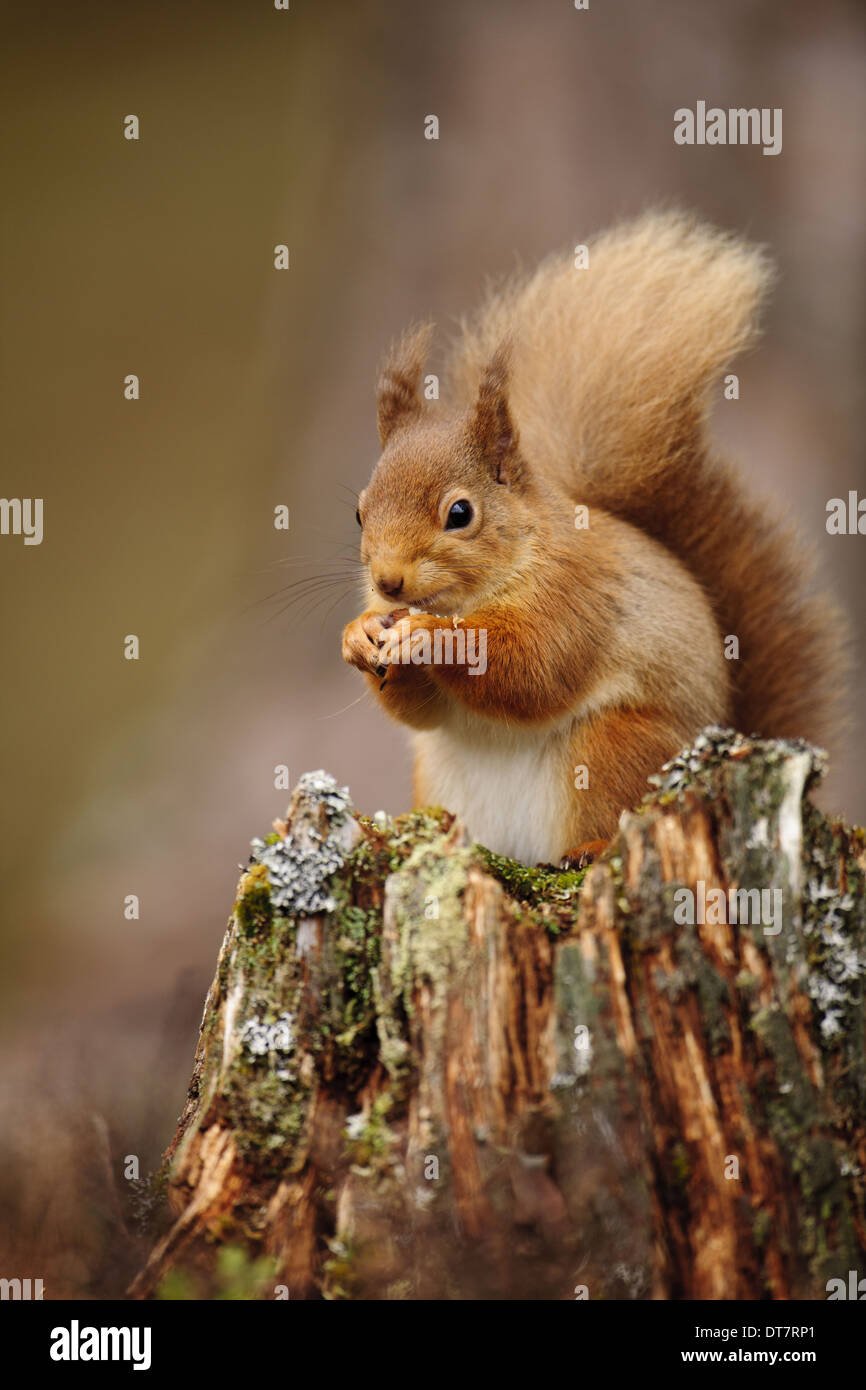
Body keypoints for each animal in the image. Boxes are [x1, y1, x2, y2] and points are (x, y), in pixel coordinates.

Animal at [342, 212, 846, 867]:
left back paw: (590, 847)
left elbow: (532, 671)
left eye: (460, 513)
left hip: (612, 748)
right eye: (358, 513)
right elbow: (419, 713)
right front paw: (359, 635)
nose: (388, 582)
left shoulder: (576, 597)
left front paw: (431, 637)